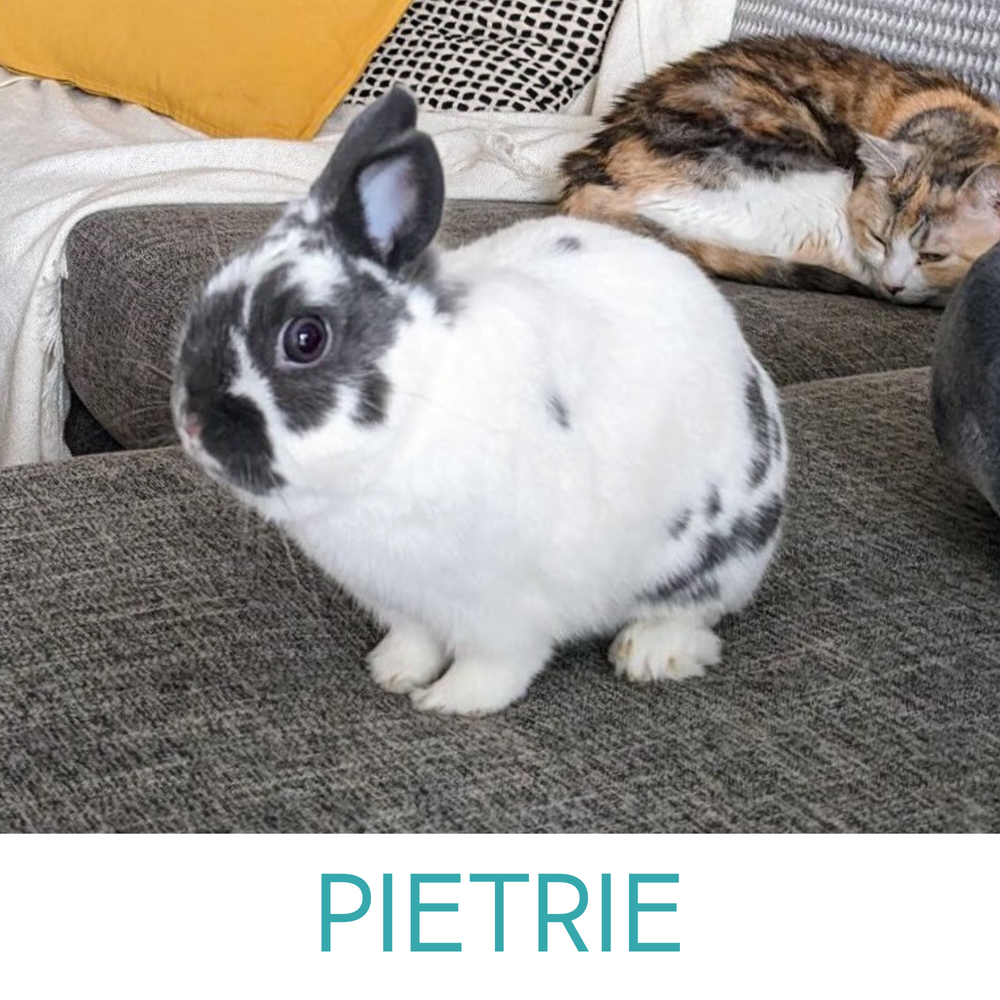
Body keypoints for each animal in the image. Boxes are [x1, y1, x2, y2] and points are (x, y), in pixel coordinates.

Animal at [172, 88, 788, 716]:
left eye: (305, 338)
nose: (192, 425)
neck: (417, 416)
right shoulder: (401, 601)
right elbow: (414, 640)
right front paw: (393, 673)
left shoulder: (505, 612)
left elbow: (496, 666)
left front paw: (448, 702)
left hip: (717, 558)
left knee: (696, 613)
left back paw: (648, 655)